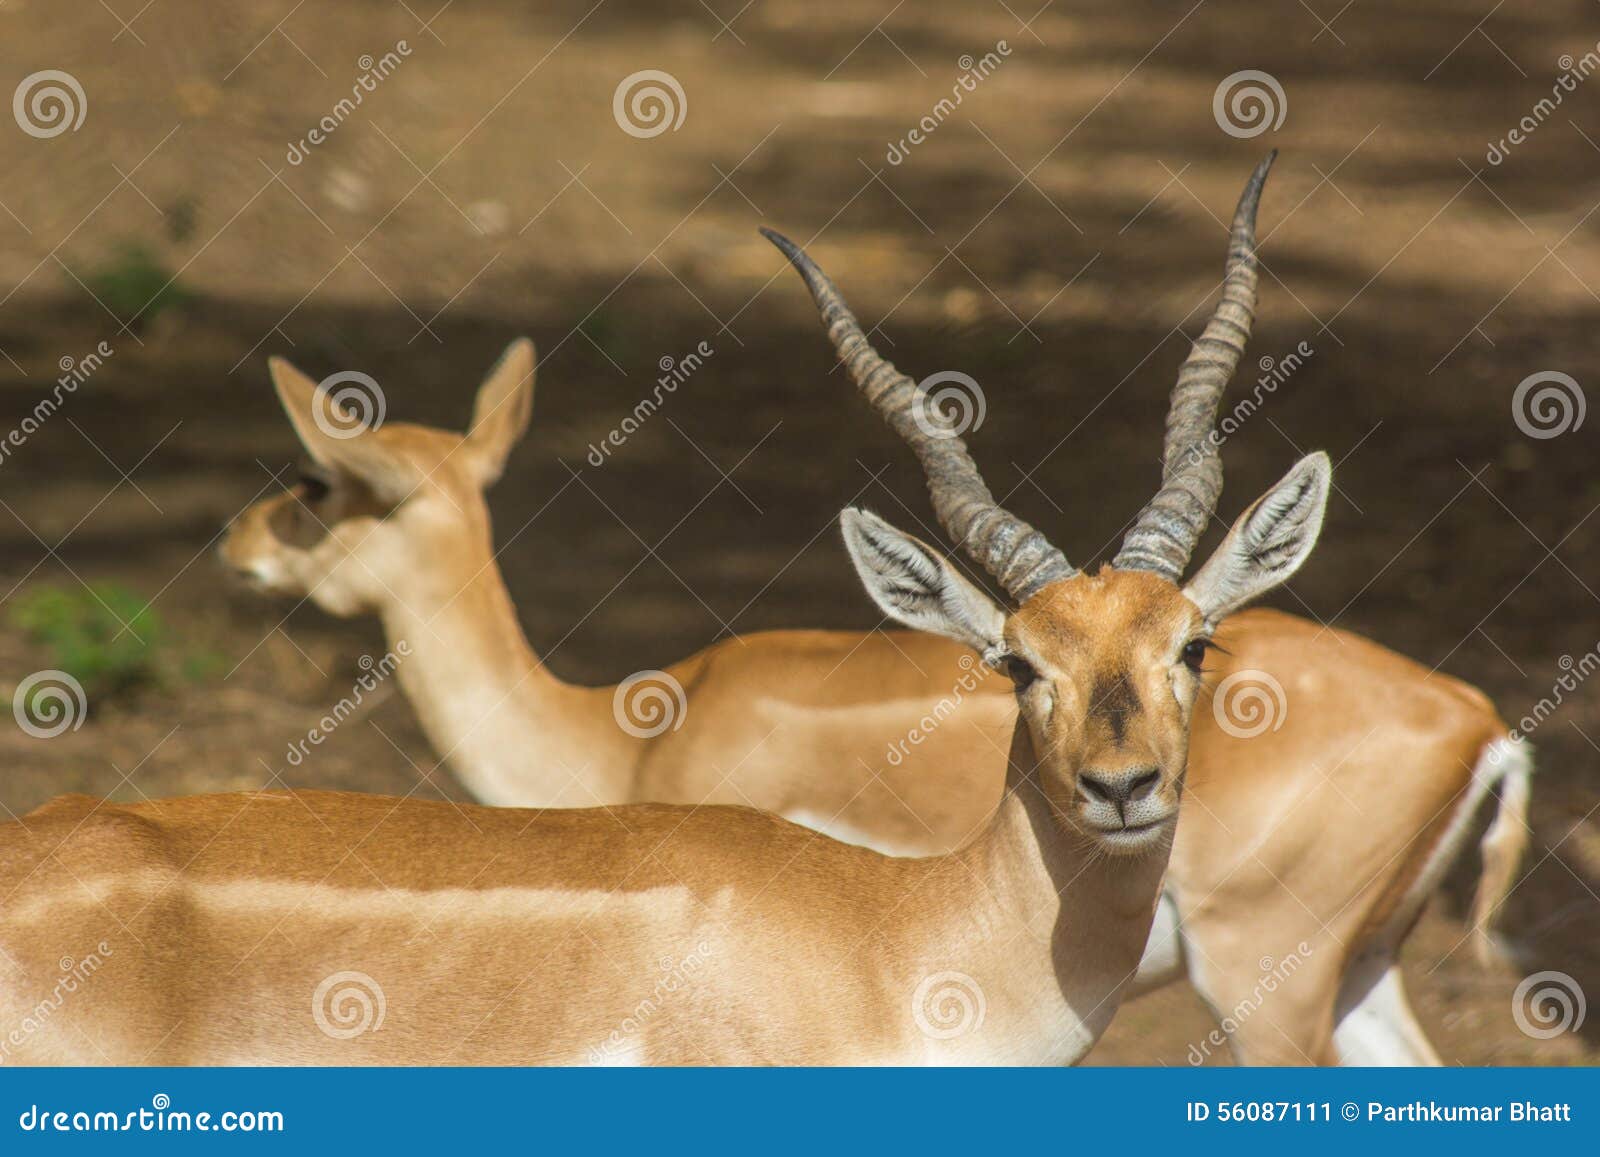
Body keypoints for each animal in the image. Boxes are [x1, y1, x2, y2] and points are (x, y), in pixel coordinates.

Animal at [218, 157, 1529, 1065]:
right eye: (1016, 661)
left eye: (1193, 642)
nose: (238, 541)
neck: (631, 735)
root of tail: (1478, 718)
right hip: (1355, 974)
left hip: (1267, 982)